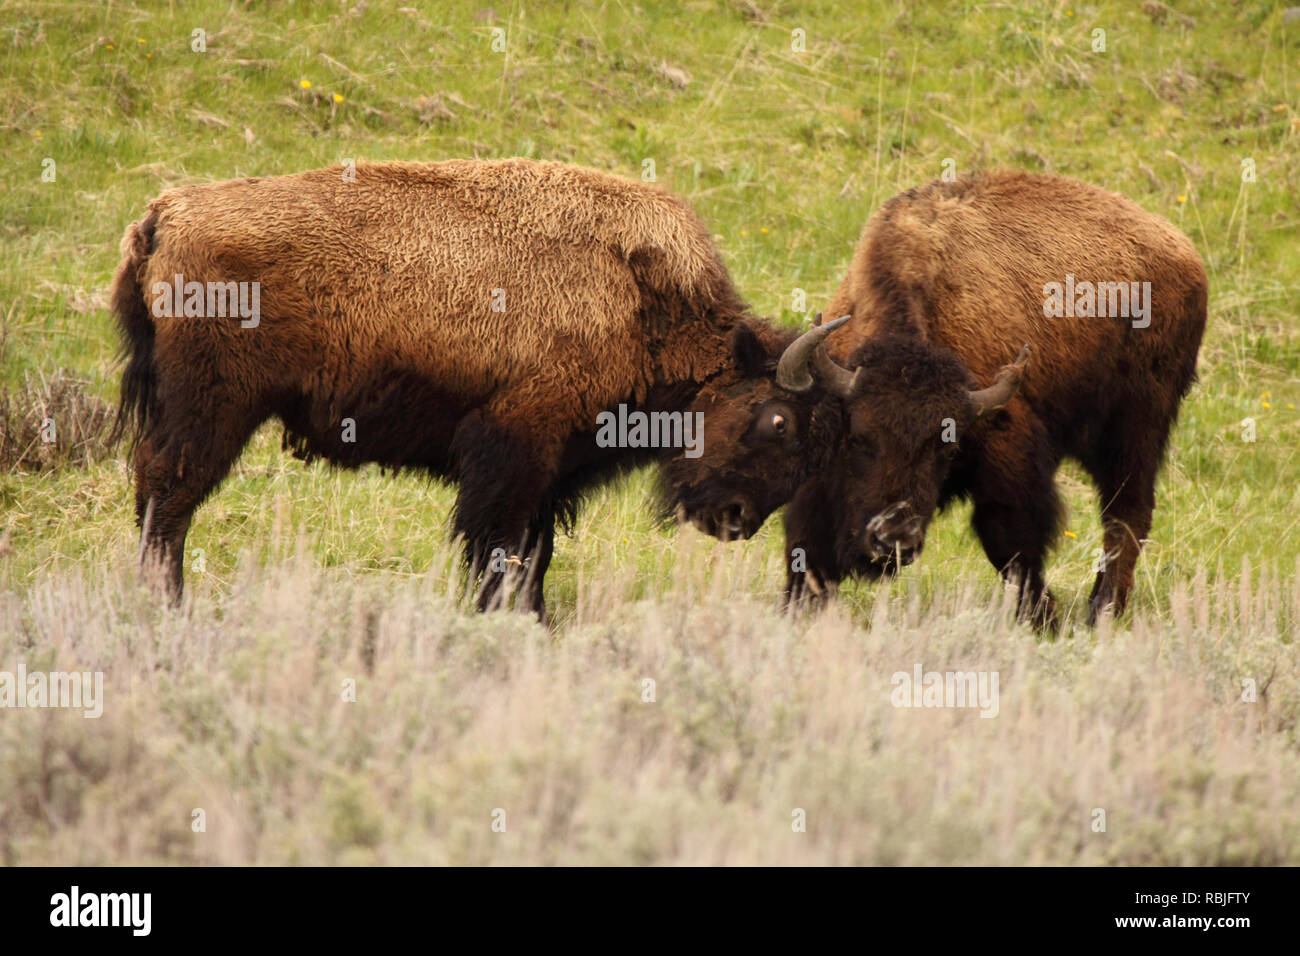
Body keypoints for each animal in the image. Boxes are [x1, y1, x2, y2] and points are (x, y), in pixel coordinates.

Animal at [109, 159, 780, 621]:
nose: (738, 520)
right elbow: (500, 549)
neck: (646, 302)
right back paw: (167, 606)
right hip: (213, 407)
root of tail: (165, 216)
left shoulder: (547, 473)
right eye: (776, 419)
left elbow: (534, 554)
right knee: (171, 492)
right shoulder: (514, 449)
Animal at [660, 171, 1207, 627]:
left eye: (947, 447)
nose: (893, 541)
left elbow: (1013, 545)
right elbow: (806, 551)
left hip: (1137, 428)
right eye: (859, 440)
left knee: (1126, 515)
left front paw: (1041, 620)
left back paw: (1103, 612)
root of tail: (1185, 255)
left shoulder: (1010, 466)